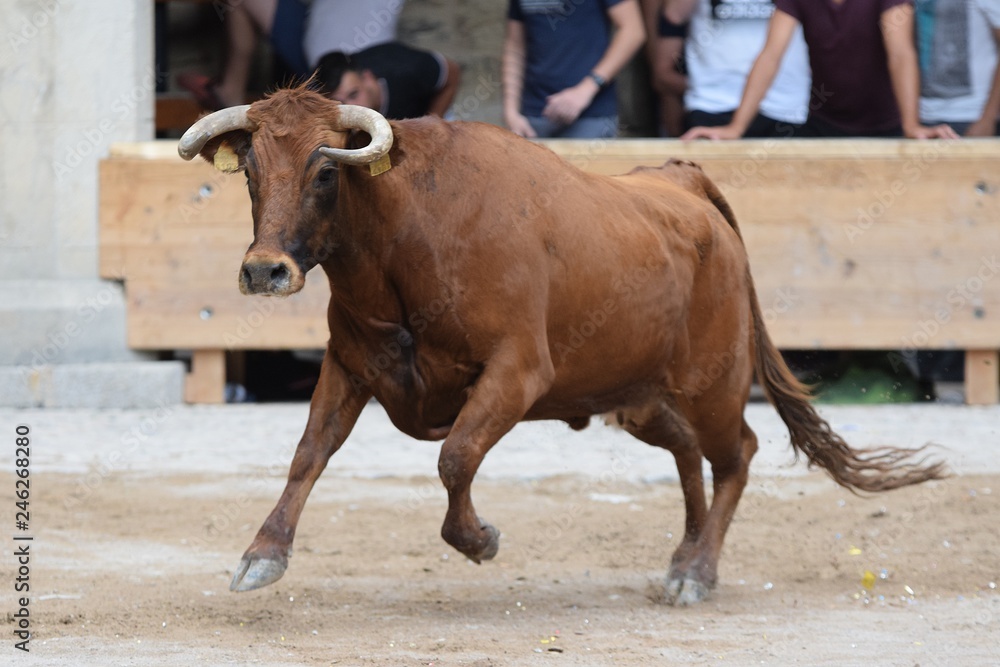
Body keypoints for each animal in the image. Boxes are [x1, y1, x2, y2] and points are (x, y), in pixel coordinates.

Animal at [178, 86, 946, 606]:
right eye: (251, 171)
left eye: (325, 169)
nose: (265, 270)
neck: (411, 234)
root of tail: (682, 183)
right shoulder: (351, 366)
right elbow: (309, 453)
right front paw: (262, 553)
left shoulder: (517, 373)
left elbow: (456, 457)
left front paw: (480, 540)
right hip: (638, 399)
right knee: (687, 451)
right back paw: (682, 555)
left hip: (715, 383)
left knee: (737, 454)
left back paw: (698, 573)